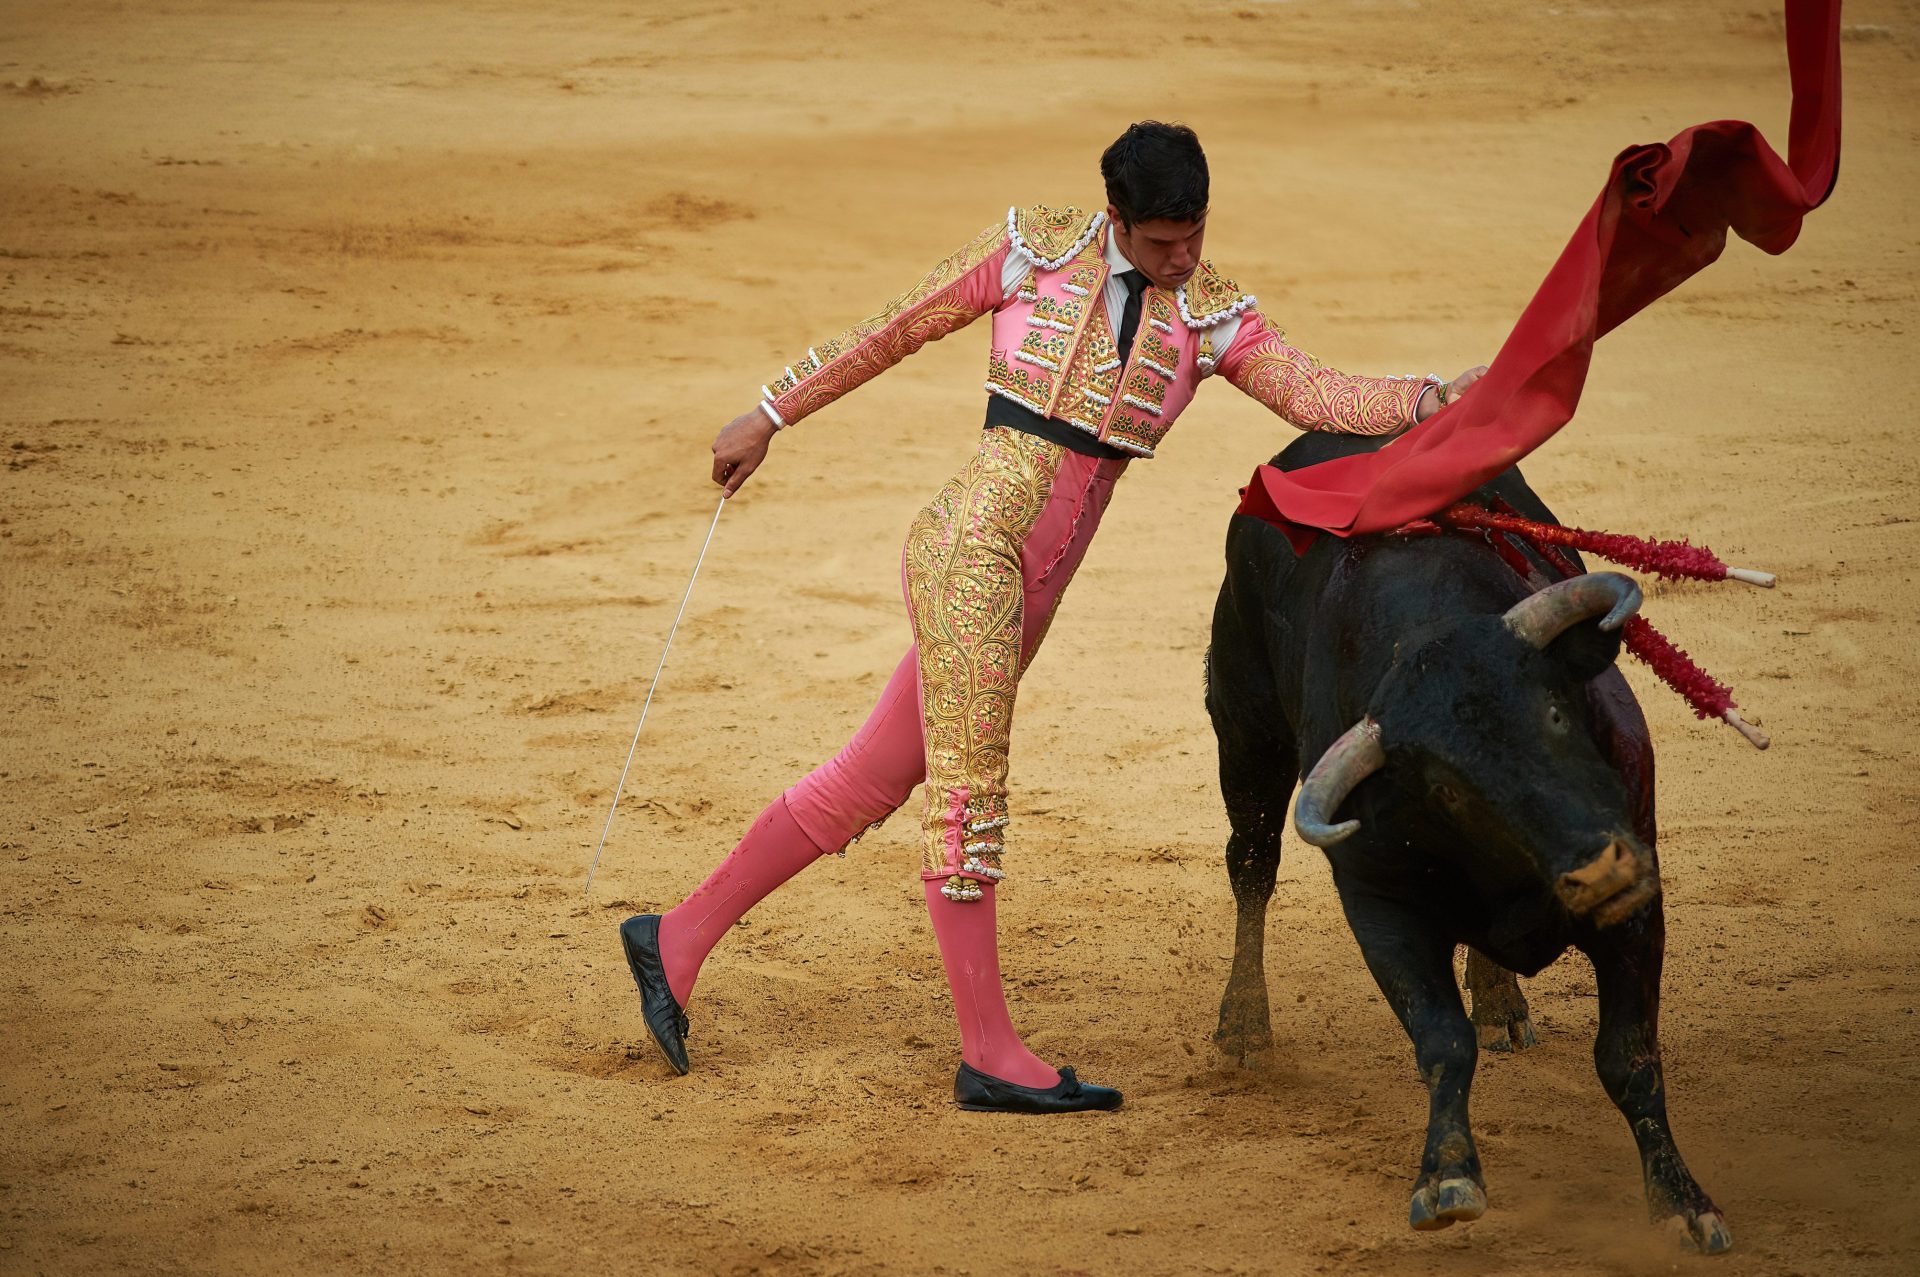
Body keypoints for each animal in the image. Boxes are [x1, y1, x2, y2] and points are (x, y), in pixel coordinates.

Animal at [1203, 430, 1730, 1254]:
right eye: (1449, 790)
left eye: (1555, 711)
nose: (1599, 871)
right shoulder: (1380, 907)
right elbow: (1443, 1041)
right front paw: (1447, 1178)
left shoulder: (1640, 892)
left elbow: (1629, 1056)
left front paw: (1681, 1201)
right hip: (1246, 737)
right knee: (1251, 866)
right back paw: (1244, 1027)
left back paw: (1500, 999)